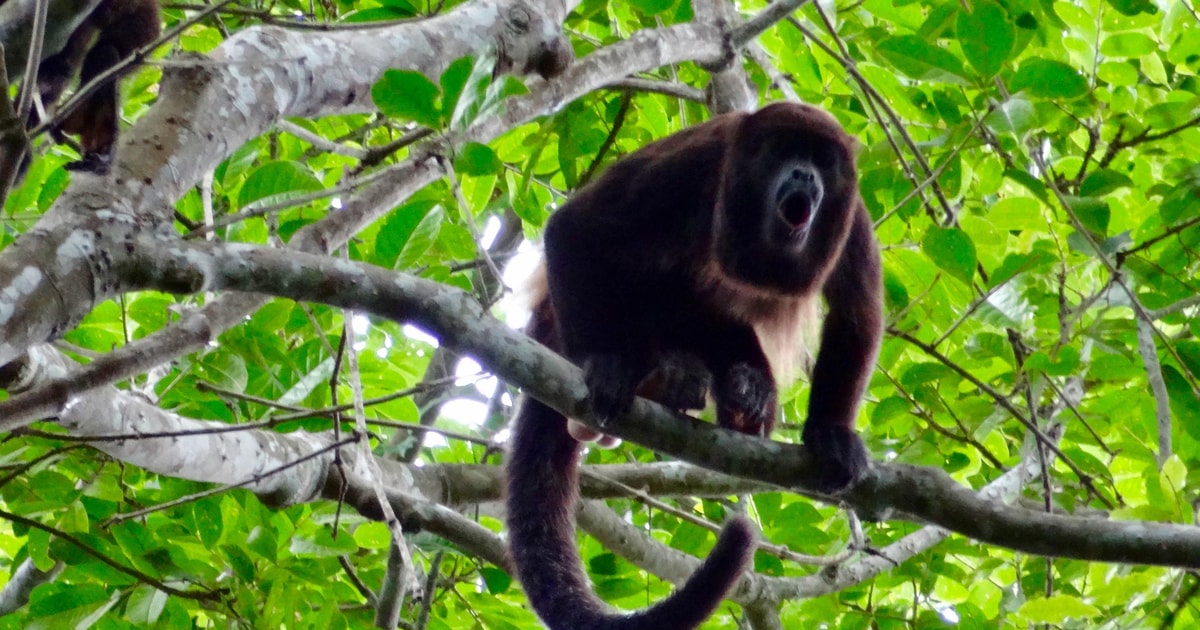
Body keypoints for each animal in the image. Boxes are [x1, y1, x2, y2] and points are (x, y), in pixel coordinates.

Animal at [504, 101, 884, 630]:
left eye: (823, 159)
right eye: (785, 149)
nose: (804, 174)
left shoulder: (853, 216)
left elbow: (857, 315)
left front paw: (831, 433)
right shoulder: (693, 166)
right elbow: (575, 226)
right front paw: (601, 366)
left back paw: (745, 395)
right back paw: (661, 374)